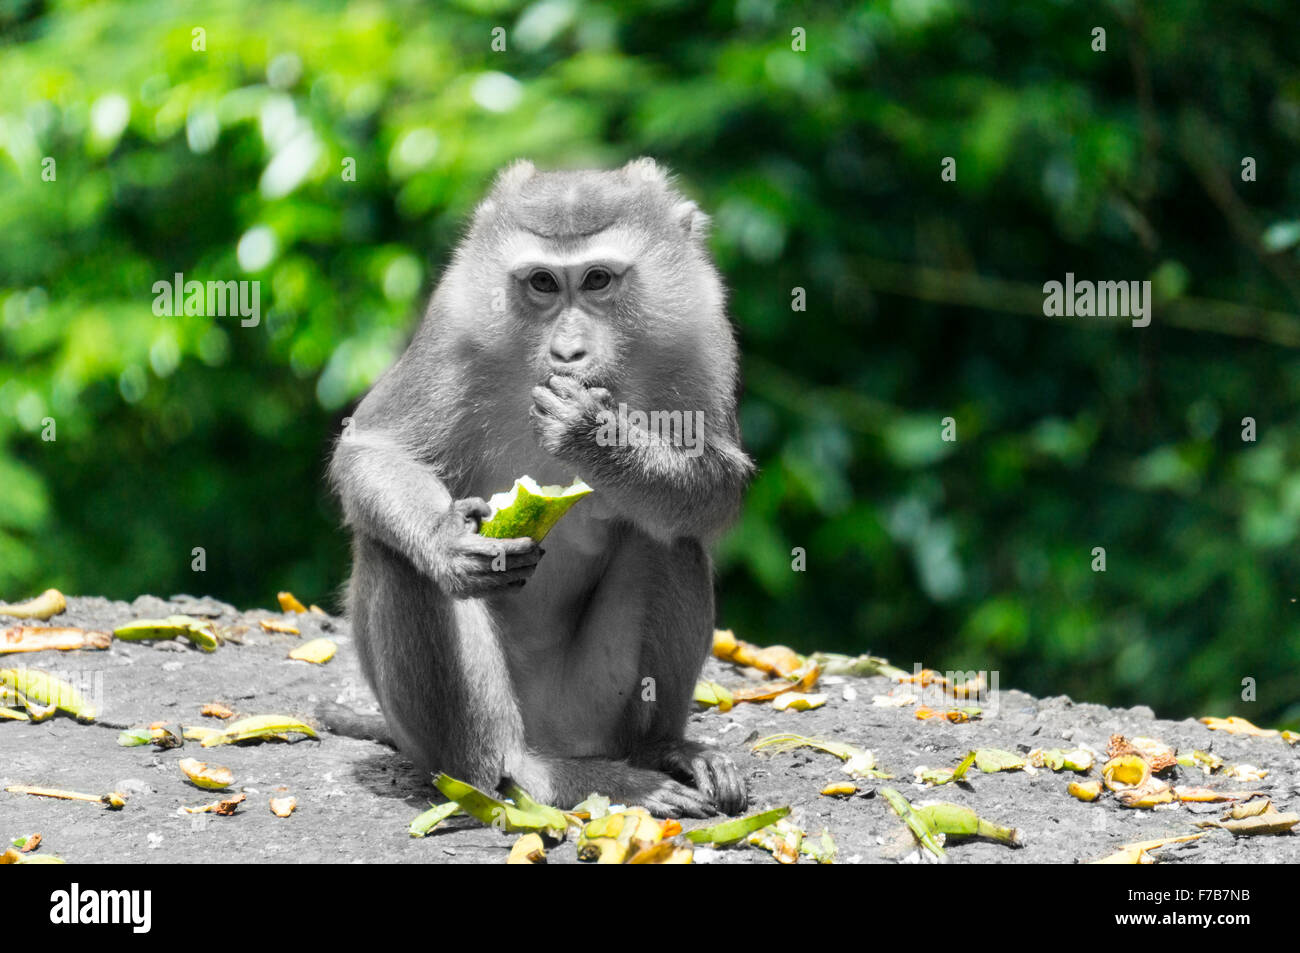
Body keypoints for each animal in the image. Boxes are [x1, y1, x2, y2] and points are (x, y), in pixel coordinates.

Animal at [328, 158, 753, 817]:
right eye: (544, 284)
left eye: (598, 280)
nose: (568, 351)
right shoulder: (455, 326)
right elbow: (374, 448)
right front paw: (445, 542)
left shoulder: (699, 334)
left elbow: (721, 487)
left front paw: (598, 436)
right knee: (393, 553)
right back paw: (518, 774)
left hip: (593, 711)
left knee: (670, 539)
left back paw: (660, 751)